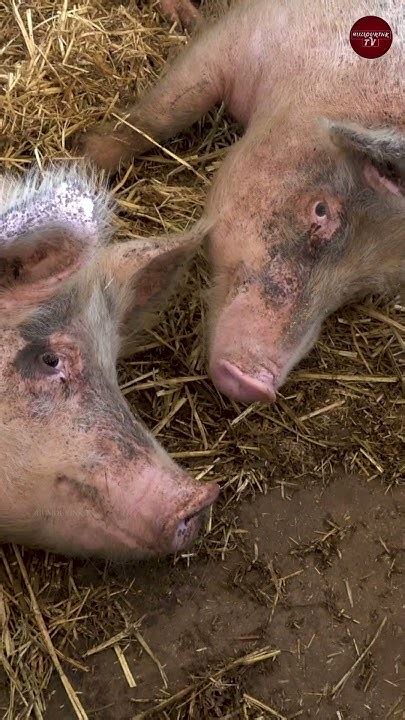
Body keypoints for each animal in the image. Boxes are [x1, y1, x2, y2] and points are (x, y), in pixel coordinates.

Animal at [75, 0, 405, 404]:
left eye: (362, 286)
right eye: (321, 211)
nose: (255, 385)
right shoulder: (237, 35)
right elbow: (163, 114)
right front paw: (80, 157)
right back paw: (187, 18)